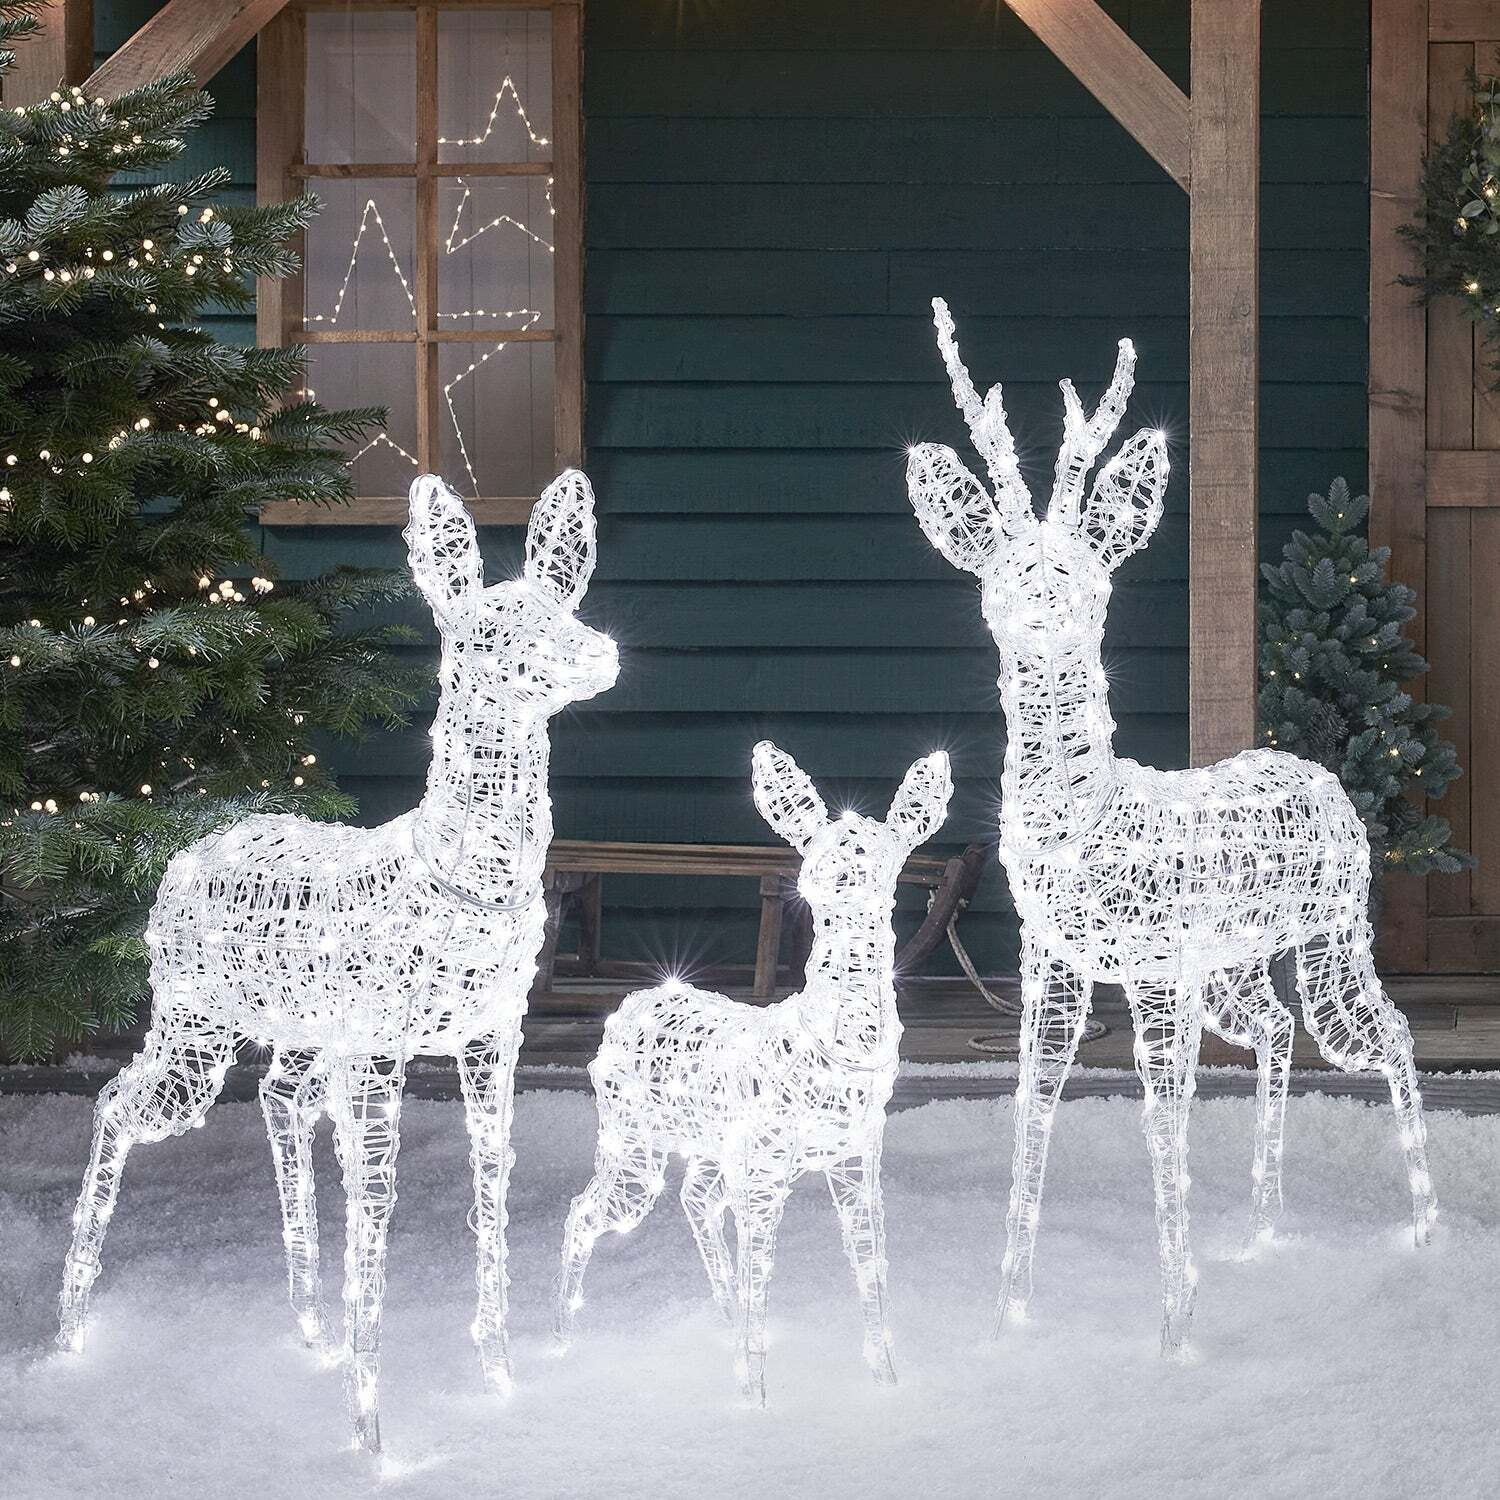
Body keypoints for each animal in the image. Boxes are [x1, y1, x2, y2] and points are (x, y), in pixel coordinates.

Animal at [57, 470, 619, 1452]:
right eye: (490, 631)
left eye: (564, 605)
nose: (601, 653)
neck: (452, 874)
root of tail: (184, 854)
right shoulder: (382, 1045)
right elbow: (378, 1196)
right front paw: (373, 1439)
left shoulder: (490, 1035)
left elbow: (492, 1178)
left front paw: (499, 1384)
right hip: (196, 1021)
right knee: (118, 1103)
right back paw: (68, 1338)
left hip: (301, 1033)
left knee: (278, 1101)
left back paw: (308, 1329)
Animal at [554, 742, 952, 1406]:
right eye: (812, 870)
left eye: (887, 865)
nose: (844, 899)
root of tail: (629, 1005)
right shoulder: (766, 1164)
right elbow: (763, 1263)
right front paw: (756, 1402)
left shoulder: (856, 1155)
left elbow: (869, 1260)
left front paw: (887, 1384)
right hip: (633, 1140)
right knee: (586, 1212)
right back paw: (555, 1345)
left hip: (710, 1144)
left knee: (695, 1200)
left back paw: (720, 1321)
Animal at [904, 298, 1436, 1357]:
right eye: (1001, 572)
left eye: (1084, 572)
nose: (1043, 596)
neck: (1085, 821)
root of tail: (1322, 776)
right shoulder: (1054, 965)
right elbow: (1032, 1106)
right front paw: (1008, 1316)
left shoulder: (1154, 967)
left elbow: (1165, 1121)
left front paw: (1176, 1333)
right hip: (1236, 962)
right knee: (1276, 1029)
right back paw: (1263, 1231)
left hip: (1334, 936)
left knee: (1388, 1034)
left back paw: (1427, 1233)